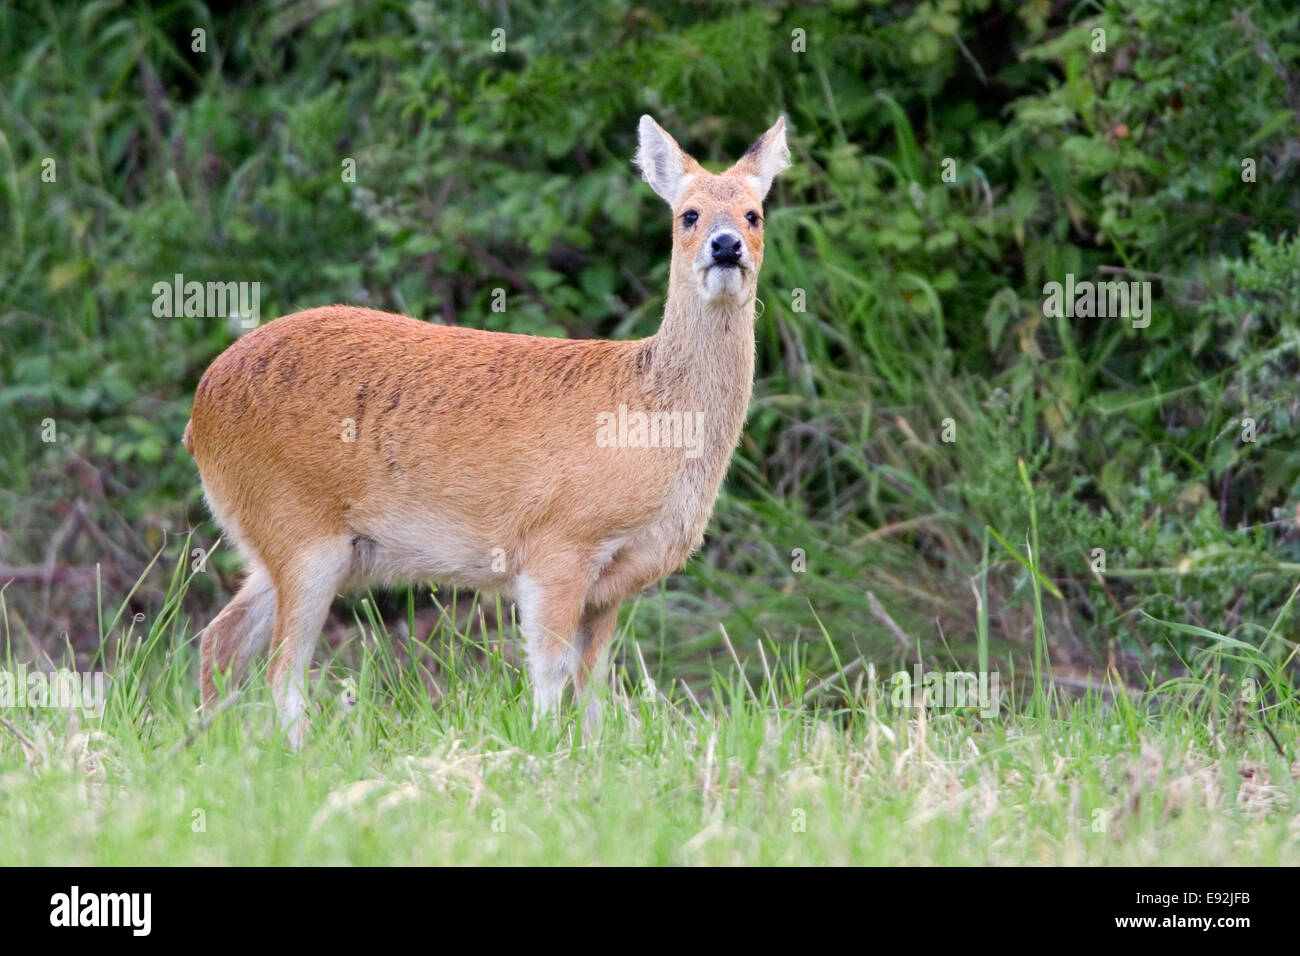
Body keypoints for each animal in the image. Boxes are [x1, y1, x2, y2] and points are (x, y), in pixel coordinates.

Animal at [185, 115, 790, 747]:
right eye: (688, 215)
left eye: (754, 214)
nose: (727, 245)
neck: (651, 416)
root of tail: (200, 410)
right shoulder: (557, 543)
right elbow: (549, 672)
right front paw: (543, 749)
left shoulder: (613, 586)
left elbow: (595, 684)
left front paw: (595, 752)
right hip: (300, 529)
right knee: (282, 668)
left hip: (279, 541)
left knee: (221, 639)